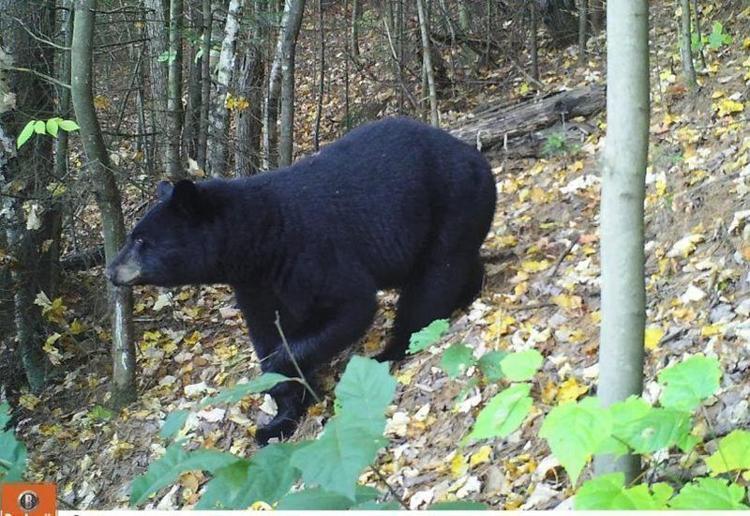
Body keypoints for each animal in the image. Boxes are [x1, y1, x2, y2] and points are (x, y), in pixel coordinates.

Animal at [107, 117, 497, 444]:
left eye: (141, 241)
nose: (110, 270)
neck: (259, 239)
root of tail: (473, 154)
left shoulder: (312, 253)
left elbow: (348, 307)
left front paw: (286, 375)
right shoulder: (256, 284)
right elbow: (267, 332)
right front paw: (279, 419)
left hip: (451, 200)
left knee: (433, 280)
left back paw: (392, 350)